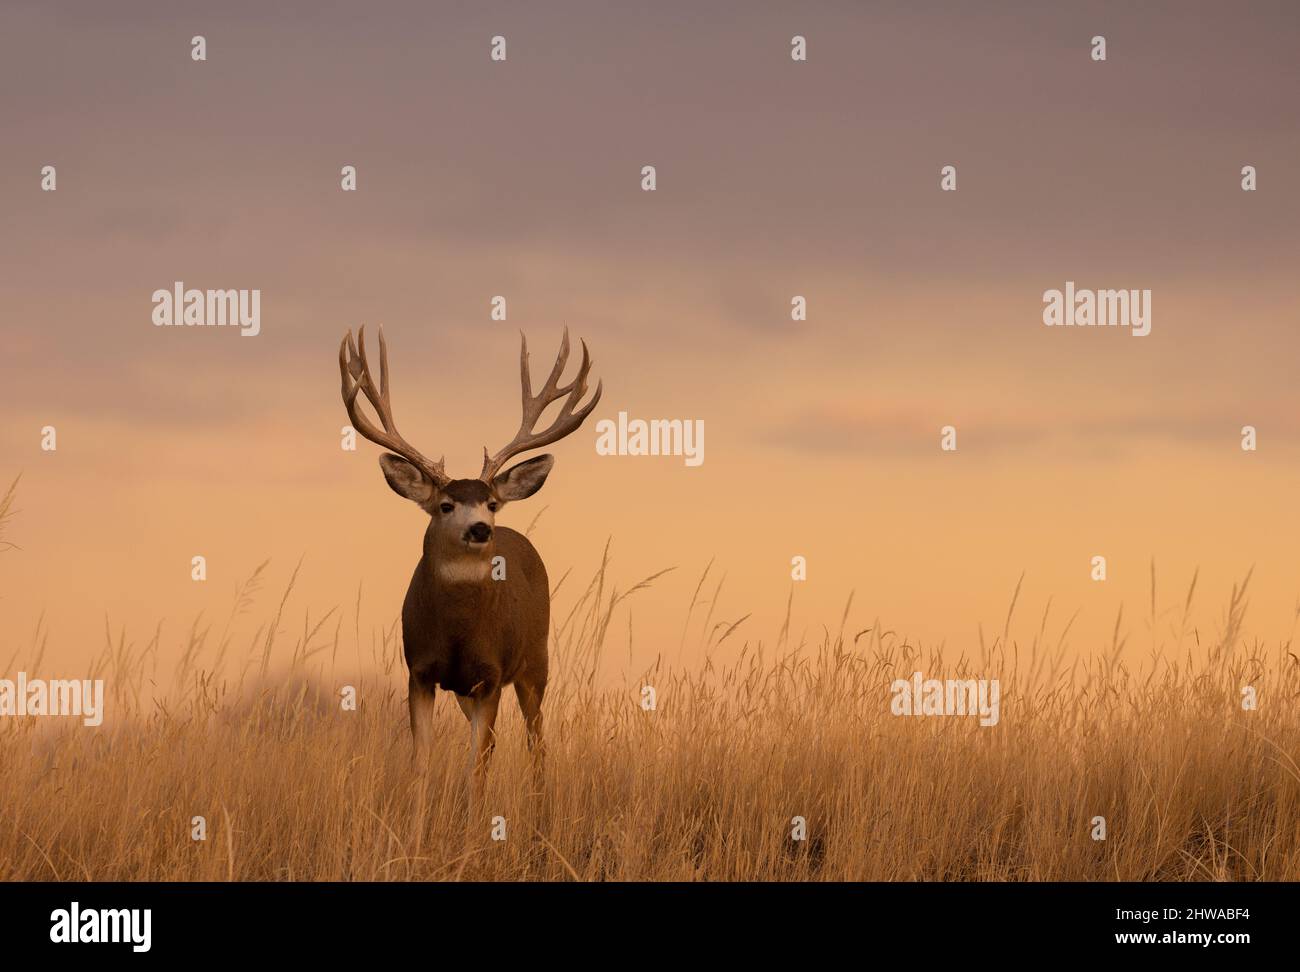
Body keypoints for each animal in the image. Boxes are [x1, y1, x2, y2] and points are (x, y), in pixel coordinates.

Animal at [338, 325, 601, 779]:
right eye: (446, 505)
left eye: (491, 503)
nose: (480, 528)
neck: (457, 630)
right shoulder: (419, 671)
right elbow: (421, 762)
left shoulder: (491, 676)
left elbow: (476, 768)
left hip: (536, 660)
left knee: (536, 742)